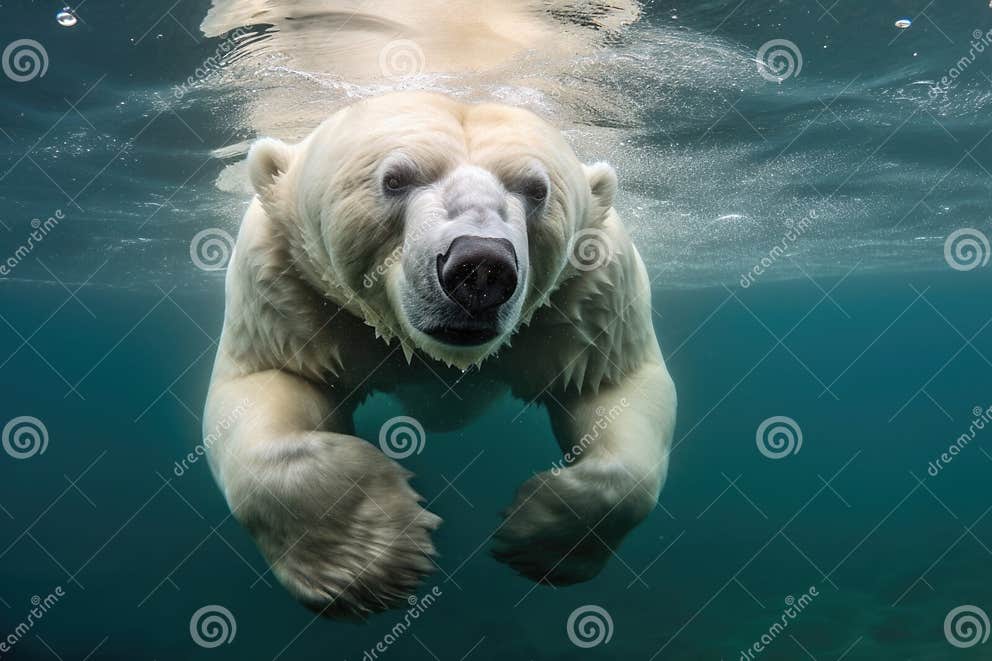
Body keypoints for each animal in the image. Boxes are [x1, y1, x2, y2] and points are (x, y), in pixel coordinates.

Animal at [202, 92, 677, 618]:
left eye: (536, 189)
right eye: (394, 179)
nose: (481, 267)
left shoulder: (592, 289)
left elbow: (616, 387)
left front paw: (537, 536)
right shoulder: (286, 286)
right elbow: (265, 386)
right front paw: (375, 558)